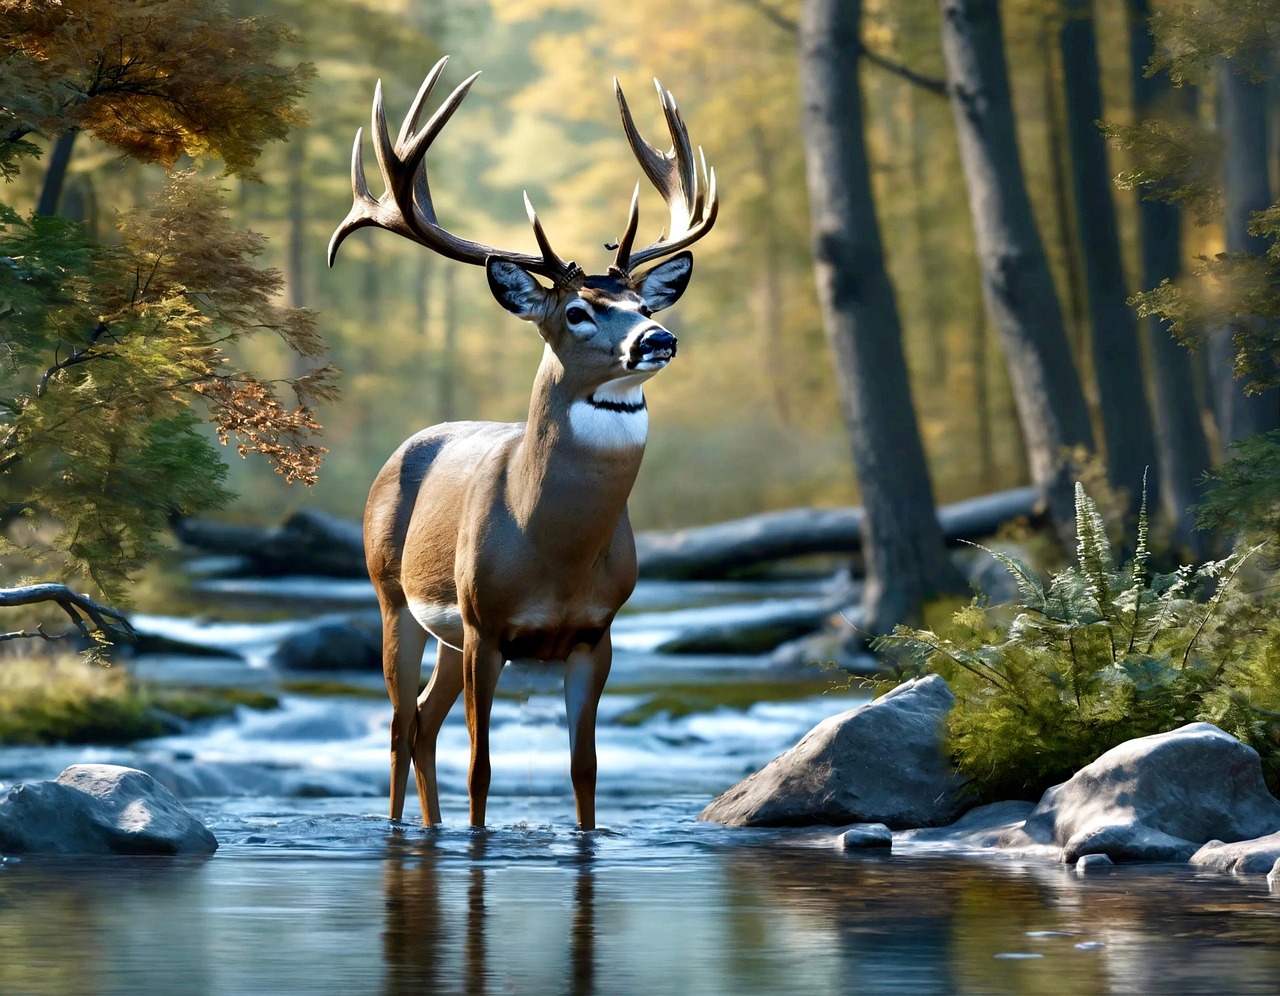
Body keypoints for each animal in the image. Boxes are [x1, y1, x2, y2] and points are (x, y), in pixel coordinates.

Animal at [327, 57, 718, 830]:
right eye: (577, 311)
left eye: (643, 303)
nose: (657, 338)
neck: (555, 553)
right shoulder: (486, 623)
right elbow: (482, 770)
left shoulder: (596, 633)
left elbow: (585, 772)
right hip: (394, 596)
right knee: (398, 724)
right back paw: (399, 827)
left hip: (447, 636)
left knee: (422, 723)